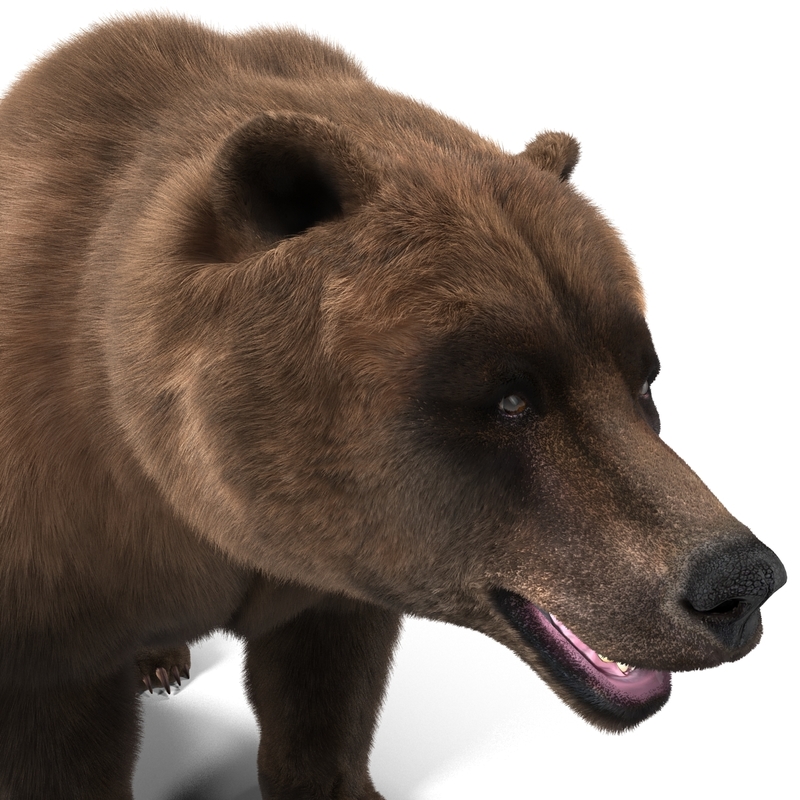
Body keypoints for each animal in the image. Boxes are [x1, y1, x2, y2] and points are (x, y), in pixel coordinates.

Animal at [0, 14, 786, 800]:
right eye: (510, 397)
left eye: (643, 379)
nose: (740, 581)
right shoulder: (62, 557)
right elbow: (59, 738)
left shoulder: (335, 577)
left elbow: (324, 698)